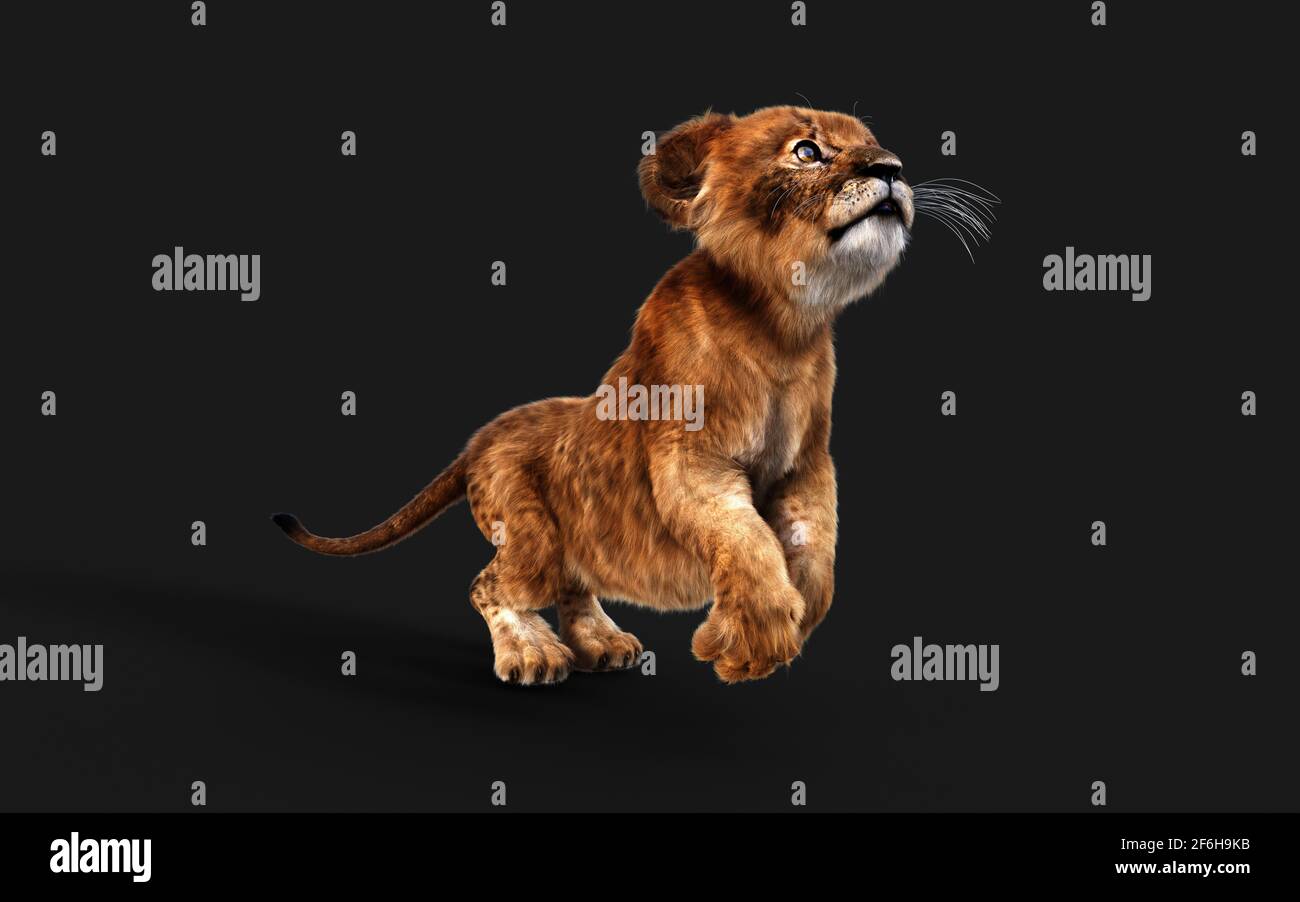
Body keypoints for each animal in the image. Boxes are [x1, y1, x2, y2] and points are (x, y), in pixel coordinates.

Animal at [274, 106, 914, 685]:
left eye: (871, 140)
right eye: (807, 150)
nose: (892, 168)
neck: (784, 328)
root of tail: (479, 439)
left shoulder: (806, 468)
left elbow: (815, 559)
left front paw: (749, 633)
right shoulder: (691, 460)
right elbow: (749, 540)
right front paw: (745, 646)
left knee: (572, 585)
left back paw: (604, 645)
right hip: (529, 536)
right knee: (490, 585)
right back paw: (531, 654)